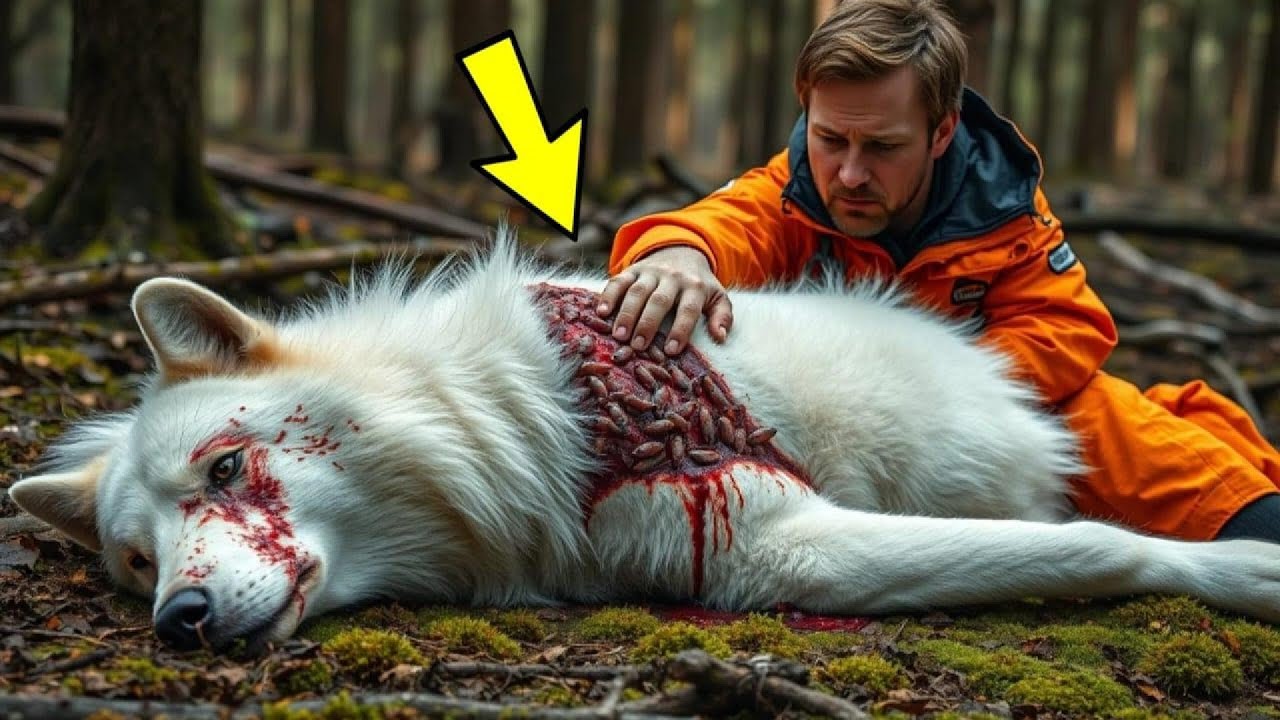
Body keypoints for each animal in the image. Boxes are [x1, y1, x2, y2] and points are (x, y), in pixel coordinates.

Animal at [9, 228, 1280, 651]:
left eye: (225, 467)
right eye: (134, 563)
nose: (174, 620)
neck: (504, 416)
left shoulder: (780, 541)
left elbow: (1098, 547)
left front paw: (1244, 571)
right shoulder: (759, 557)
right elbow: (1090, 549)